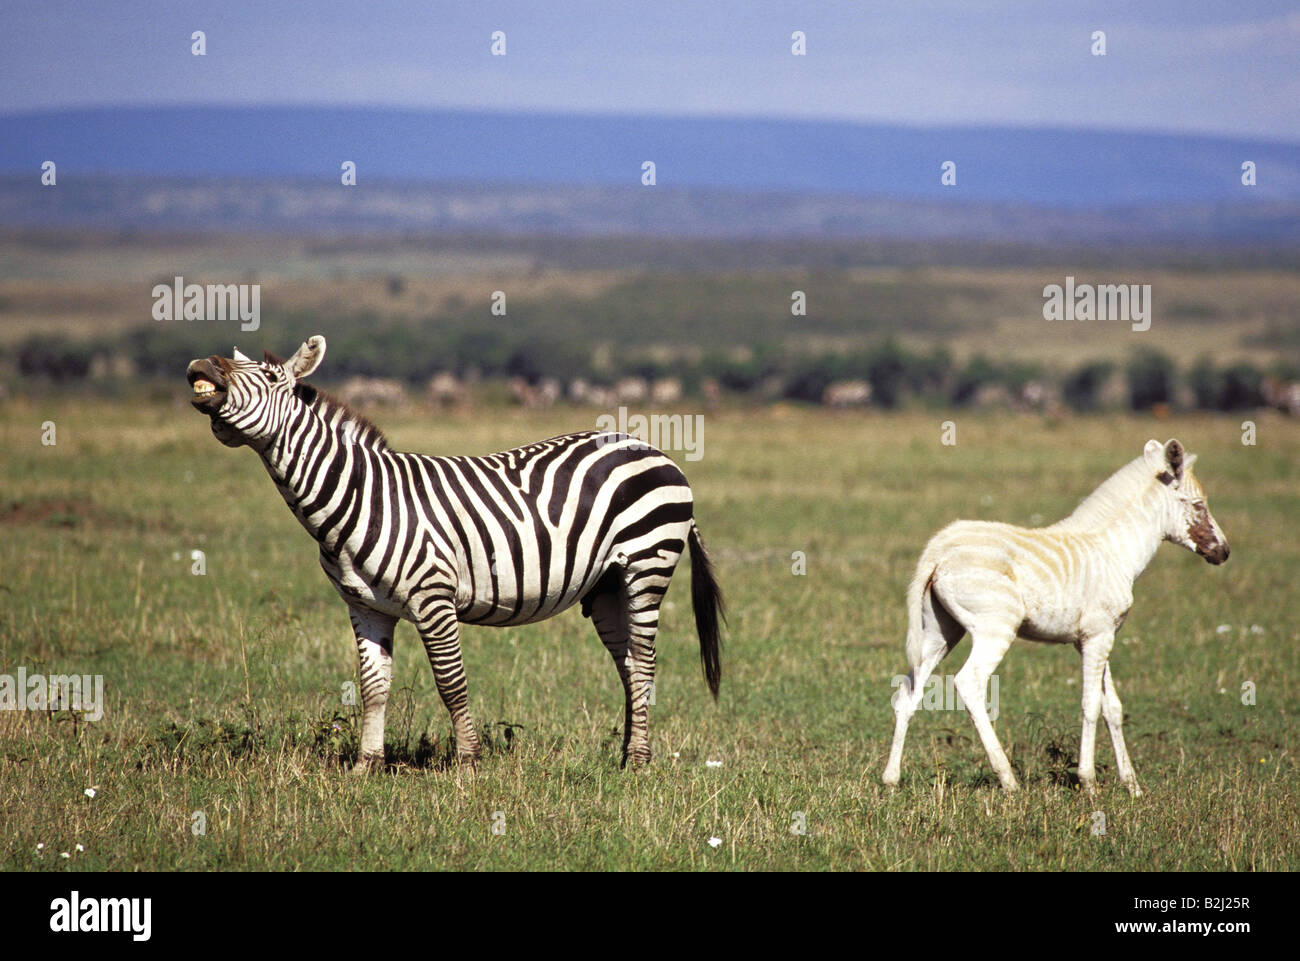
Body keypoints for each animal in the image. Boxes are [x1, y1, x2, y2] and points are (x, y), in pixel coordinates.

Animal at [186, 335, 724, 770]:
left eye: (270, 375)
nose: (202, 363)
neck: (362, 498)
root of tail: (652, 450)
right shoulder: (365, 607)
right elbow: (373, 687)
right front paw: (365, 767)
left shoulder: (434, 597)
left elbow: (451, 682)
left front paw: (467, 764)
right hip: (608, 585)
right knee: (630, 666)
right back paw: (628, 758)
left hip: (647, 566)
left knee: (646, 662)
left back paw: (640, 764)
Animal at [882, 439, 1229, 796]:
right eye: (1199, 505)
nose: (1224, 552)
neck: (1115, 551)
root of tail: (938, 549)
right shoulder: (1098, 636)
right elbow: (1091, 705)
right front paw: (1089, 783)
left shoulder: (1096, 638)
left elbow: (1113, 707)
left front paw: (1133, 787)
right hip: (995, 629)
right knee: (970, 683)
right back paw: (1009, 781)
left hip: (940, 632)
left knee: (907, 694)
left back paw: (891, 780)